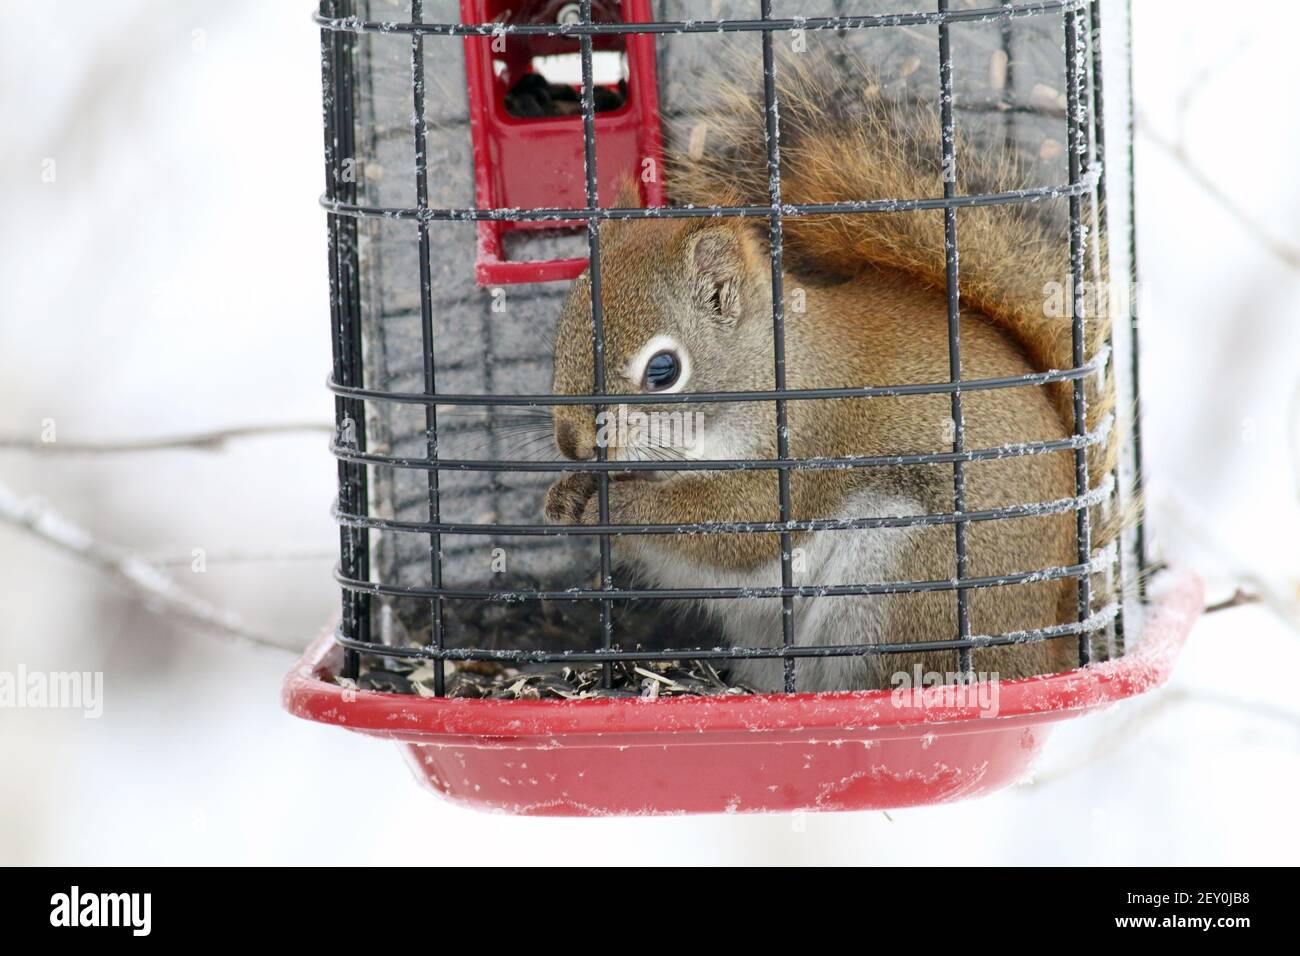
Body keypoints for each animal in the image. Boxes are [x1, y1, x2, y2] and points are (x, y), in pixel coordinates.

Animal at [542, 51, 1120, 692]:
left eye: (663, 370)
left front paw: (613, 506)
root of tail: (1043, 645)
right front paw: (565, 495)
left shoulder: (803, 443)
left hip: (902, 587)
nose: (571, 444)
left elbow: (737, 523)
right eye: (562, 331)